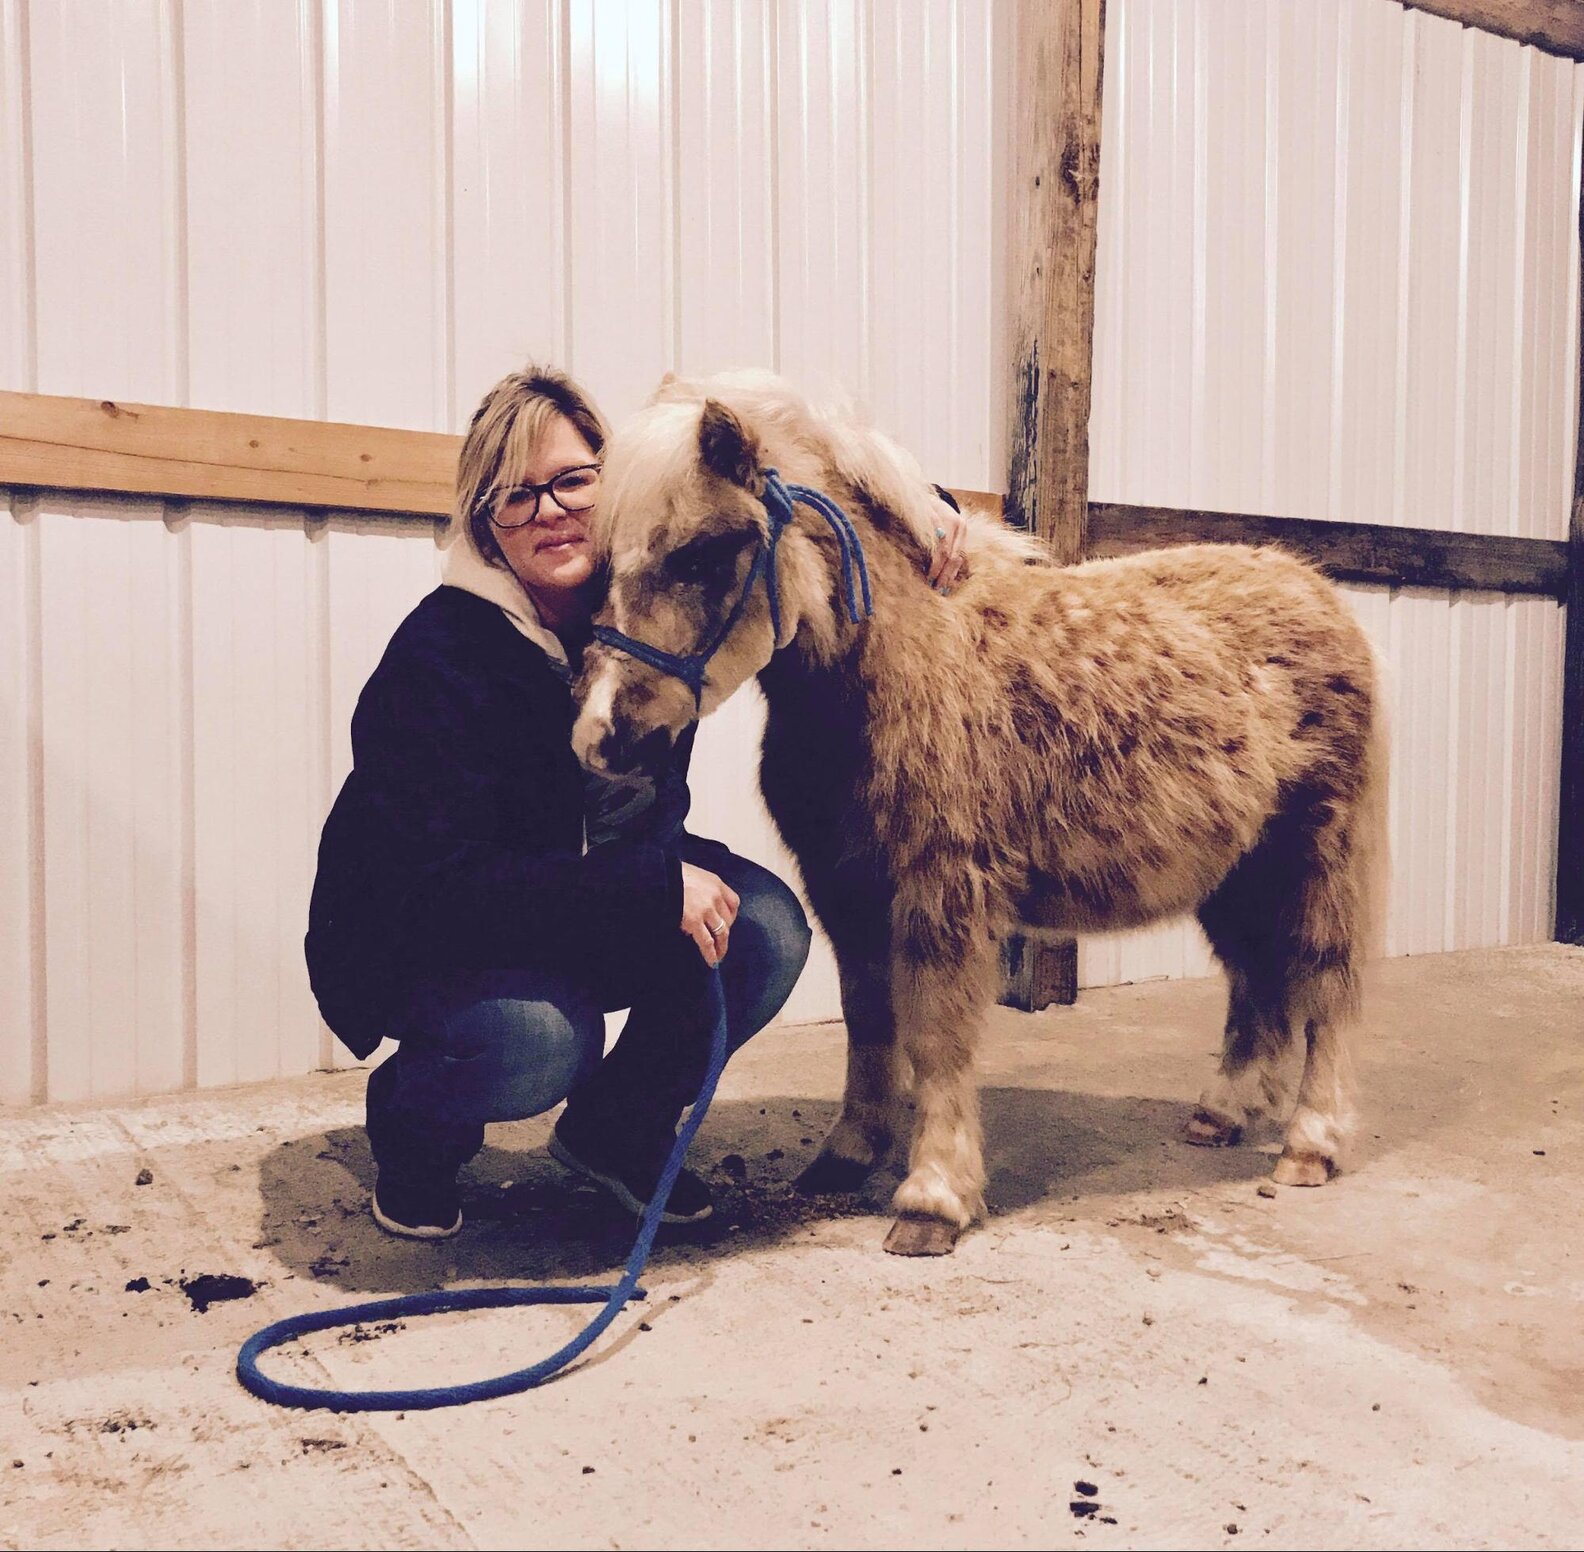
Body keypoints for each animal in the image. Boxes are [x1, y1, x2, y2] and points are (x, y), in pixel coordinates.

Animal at [571, 370, 1388, 1256]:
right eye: (602, 563)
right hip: (1235, 873)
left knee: (1325, 983)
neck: (898, 663)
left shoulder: (942, 892)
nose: (600, 737)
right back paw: (1222, 1114)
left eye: (702, 551)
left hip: (1315, 857)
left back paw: (1310, 1144)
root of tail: (1316, 591)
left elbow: (937, 1034)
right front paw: (848, 1155)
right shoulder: (847, 891)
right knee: (1256, 982)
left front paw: (931, 1198)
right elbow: (868, 1017)